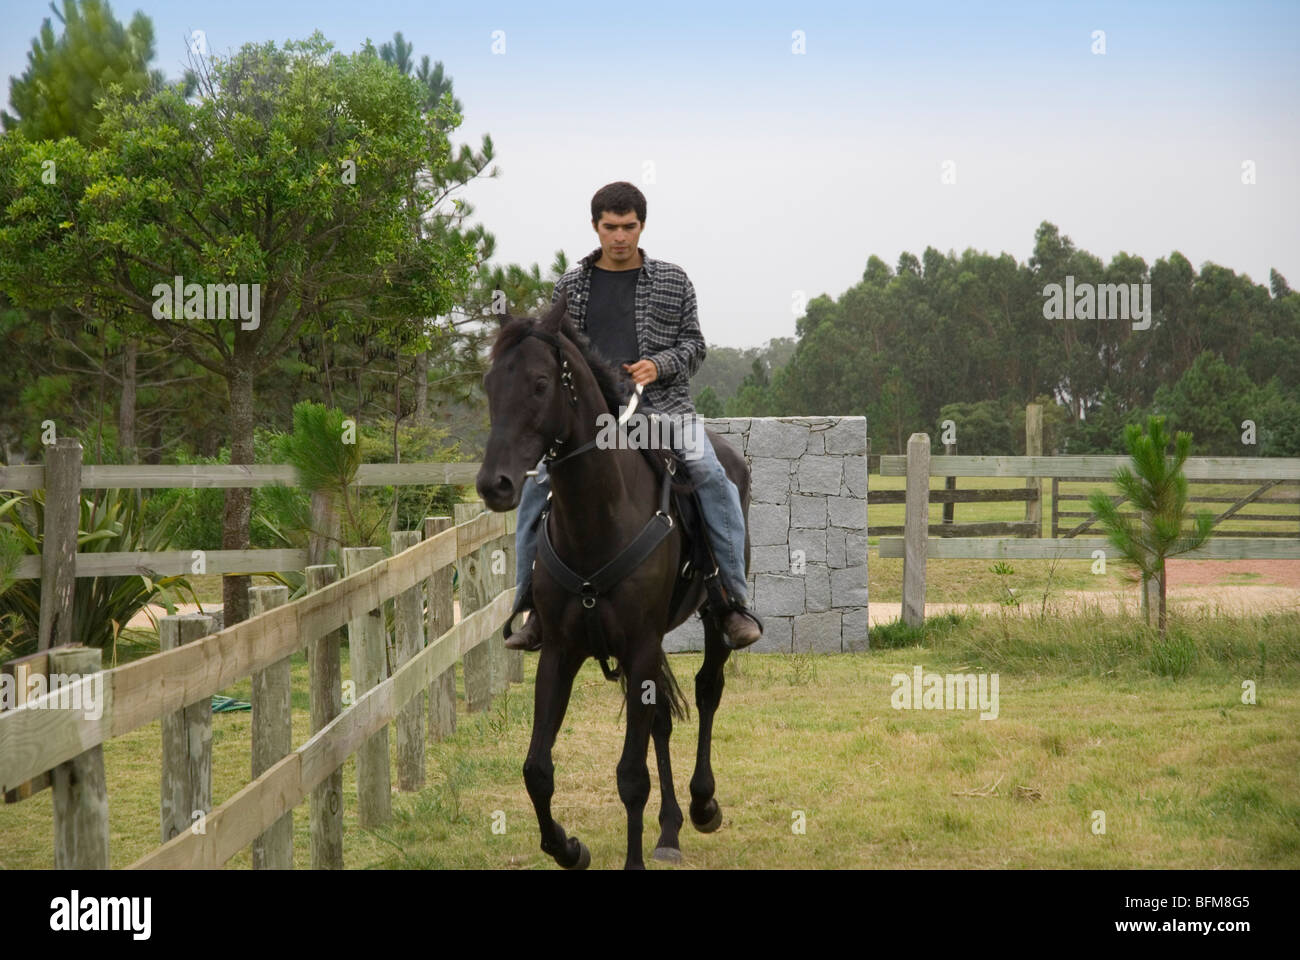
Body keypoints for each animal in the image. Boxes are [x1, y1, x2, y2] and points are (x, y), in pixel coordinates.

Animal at [475, 291, 753, 869]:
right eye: (490, 385)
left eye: (540, 383)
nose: (495, 485)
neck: (598, 519)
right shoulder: (563, 652)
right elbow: (536, 769)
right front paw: (568, 848)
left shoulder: (640, 646)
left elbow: (631, 776)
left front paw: (631, 859)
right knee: (663, 720)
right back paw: (669, 832)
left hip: (710, 619)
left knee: (708, 691)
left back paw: (702, 805)